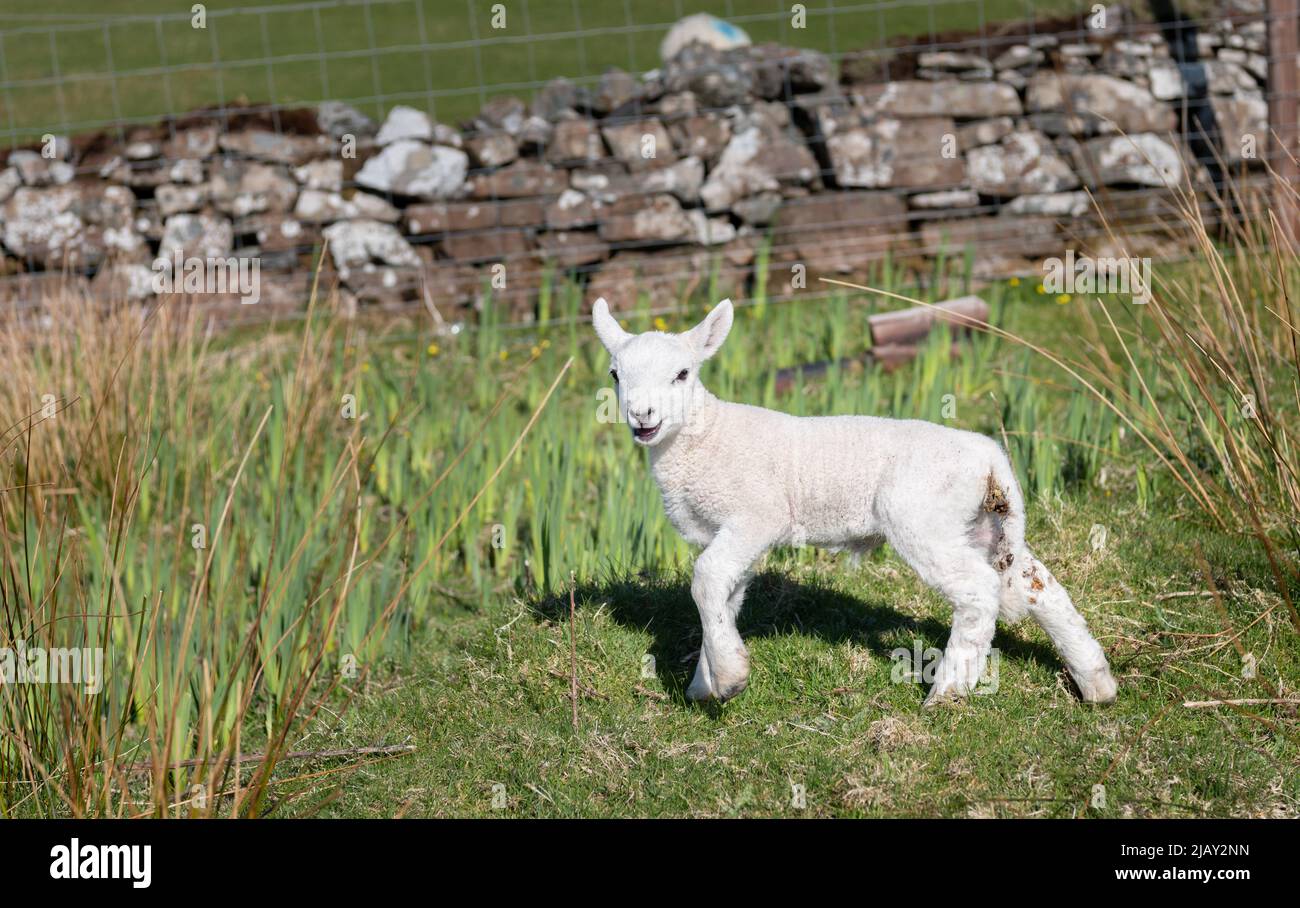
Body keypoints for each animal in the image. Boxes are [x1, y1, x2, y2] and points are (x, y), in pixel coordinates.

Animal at [591, 296, 1118, 706]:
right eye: (615, 375)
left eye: (682, 374)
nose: (642, 416)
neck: (705, 438)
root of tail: (989, 455)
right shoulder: (727, 534)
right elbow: (723, 594)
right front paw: (708, 683)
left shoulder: (756, 516)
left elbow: (704, 582)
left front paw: (730, 677)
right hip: (982, 523)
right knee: (1037, 586)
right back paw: (1096, 682)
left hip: (923, 518)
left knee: (979, 590)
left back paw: (947, 693)